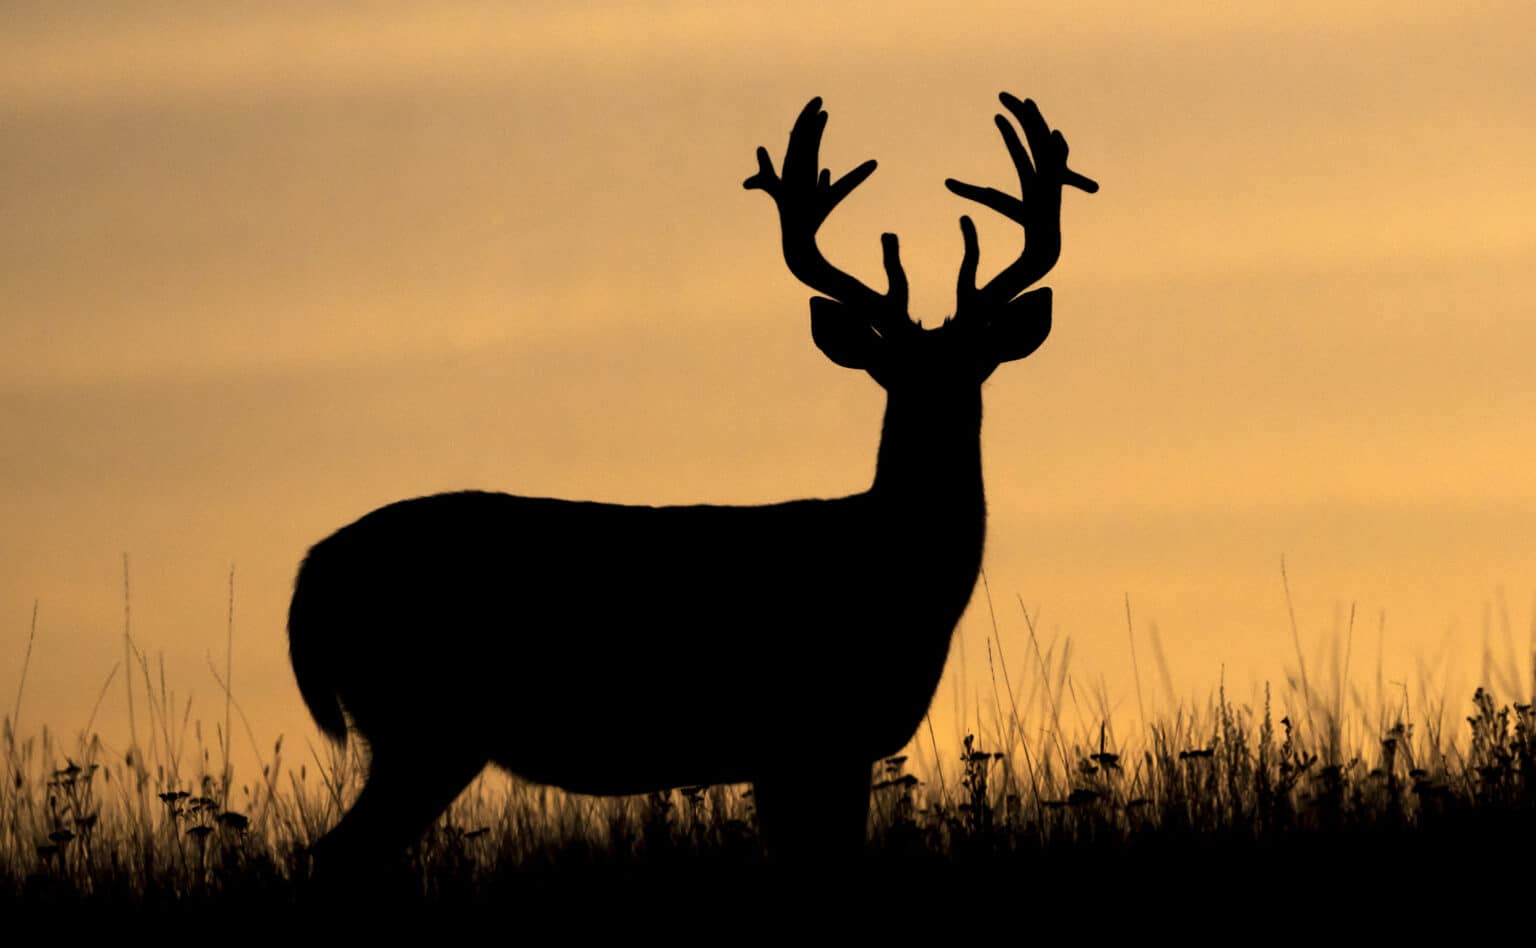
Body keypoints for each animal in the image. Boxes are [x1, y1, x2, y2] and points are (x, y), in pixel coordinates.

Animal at [287, 93, 1096, 873]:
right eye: (890, 370)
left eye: (975, 365)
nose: (938, 415)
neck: (893, 568)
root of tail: (310, 577)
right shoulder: (808, 733)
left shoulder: (822, 747)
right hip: (424, 718)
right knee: (335, 853)